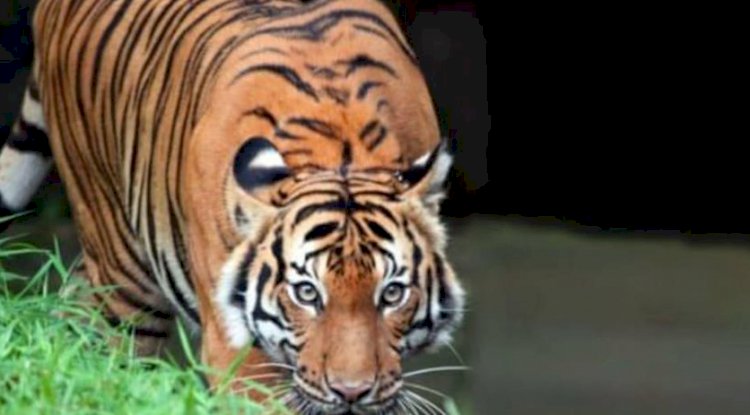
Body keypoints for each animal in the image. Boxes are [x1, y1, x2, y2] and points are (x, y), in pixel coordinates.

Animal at [0, 0, 465, 413]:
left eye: (392, 293)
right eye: (306, 292)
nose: (351, 392)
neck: (341, 149)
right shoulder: (236, 348)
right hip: (124, 275)